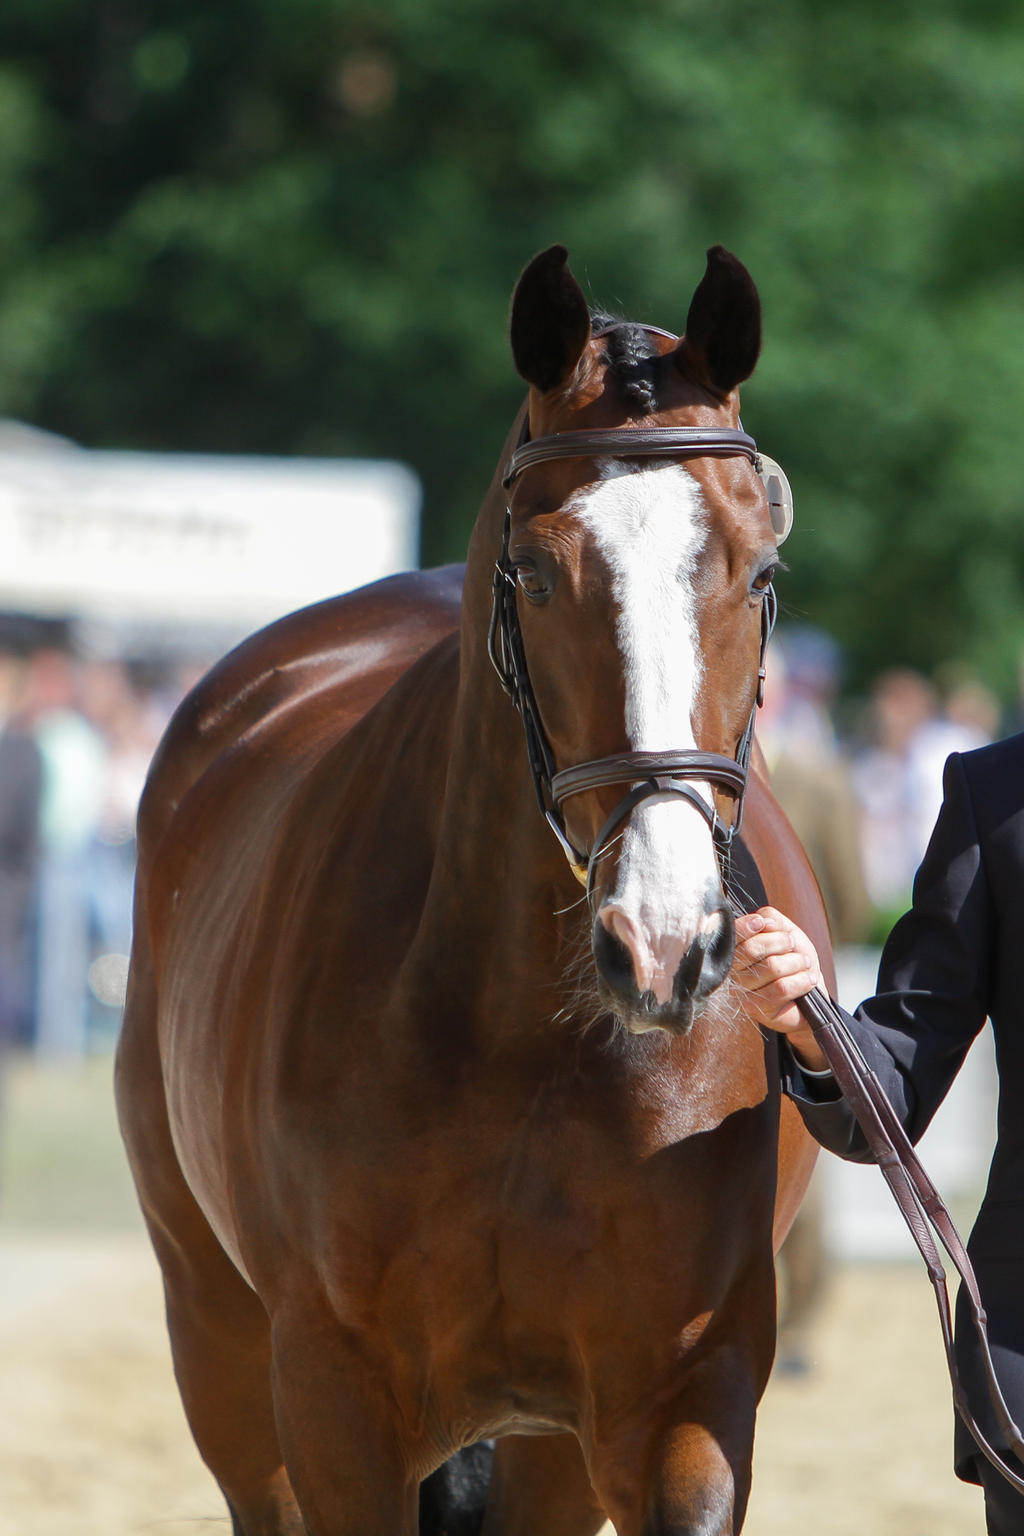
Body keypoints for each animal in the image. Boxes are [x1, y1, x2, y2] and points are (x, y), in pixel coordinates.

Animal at [115, 243, 832, 1536]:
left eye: (760, 568)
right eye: (538, 573)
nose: (666, 947)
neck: (520, 1037)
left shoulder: (679, 1400)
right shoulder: (333, 1398)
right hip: (219, 1345)